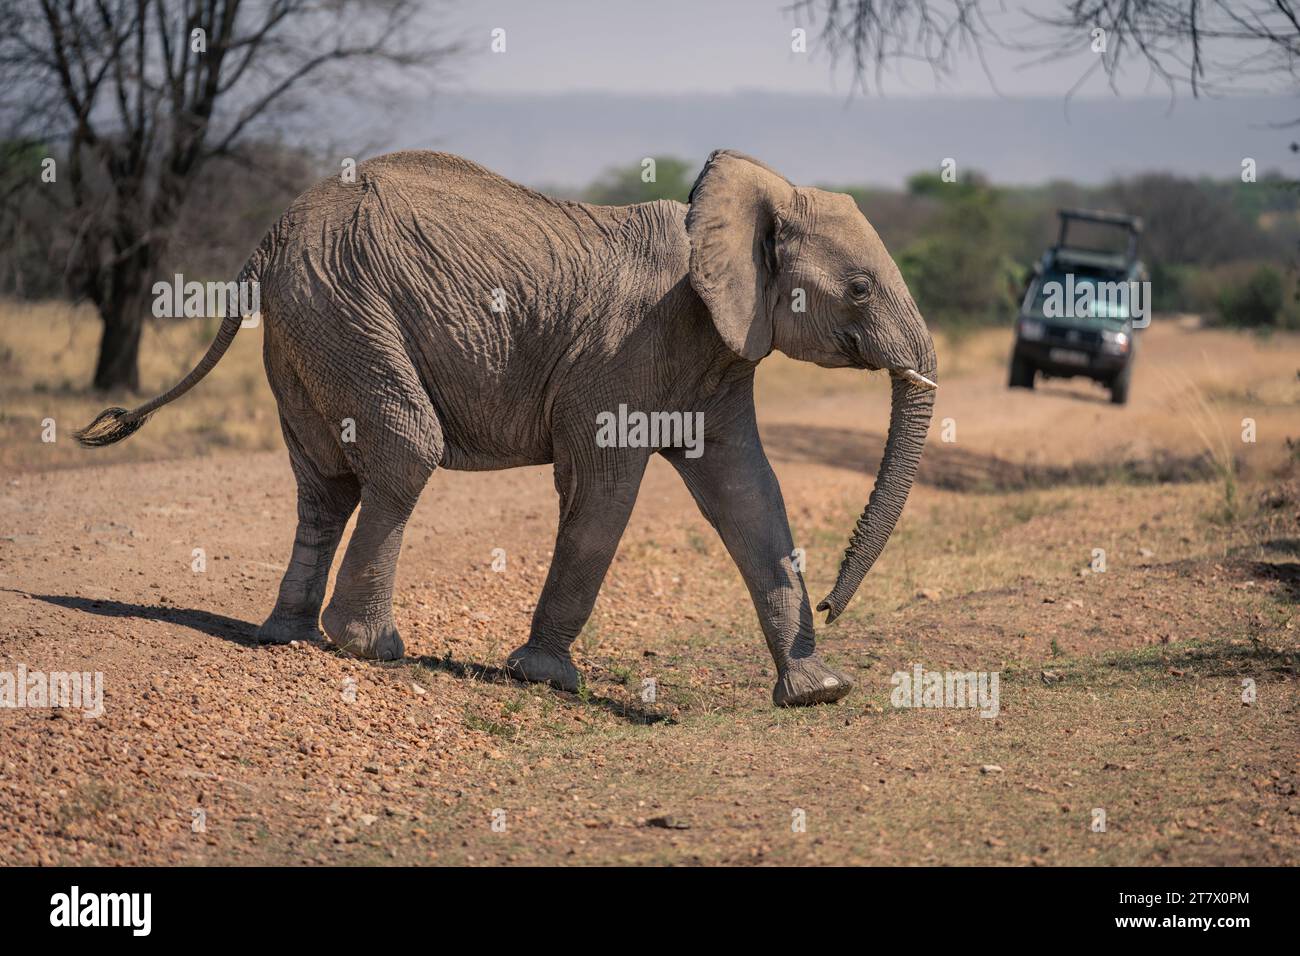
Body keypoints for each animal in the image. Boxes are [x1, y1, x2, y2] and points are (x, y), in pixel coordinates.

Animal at [76, 149, 937, 707]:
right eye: (861, 289)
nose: (835, 606)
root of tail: (270, 238)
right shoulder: (629, 349)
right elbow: (603, 494)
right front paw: (545, 678)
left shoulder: (718, 354)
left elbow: (749, 493)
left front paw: (819, 692)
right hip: (343, 305)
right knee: (404, 452)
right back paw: (370, 648)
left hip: (304, 328)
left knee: (324, 484)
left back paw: (286, 637)